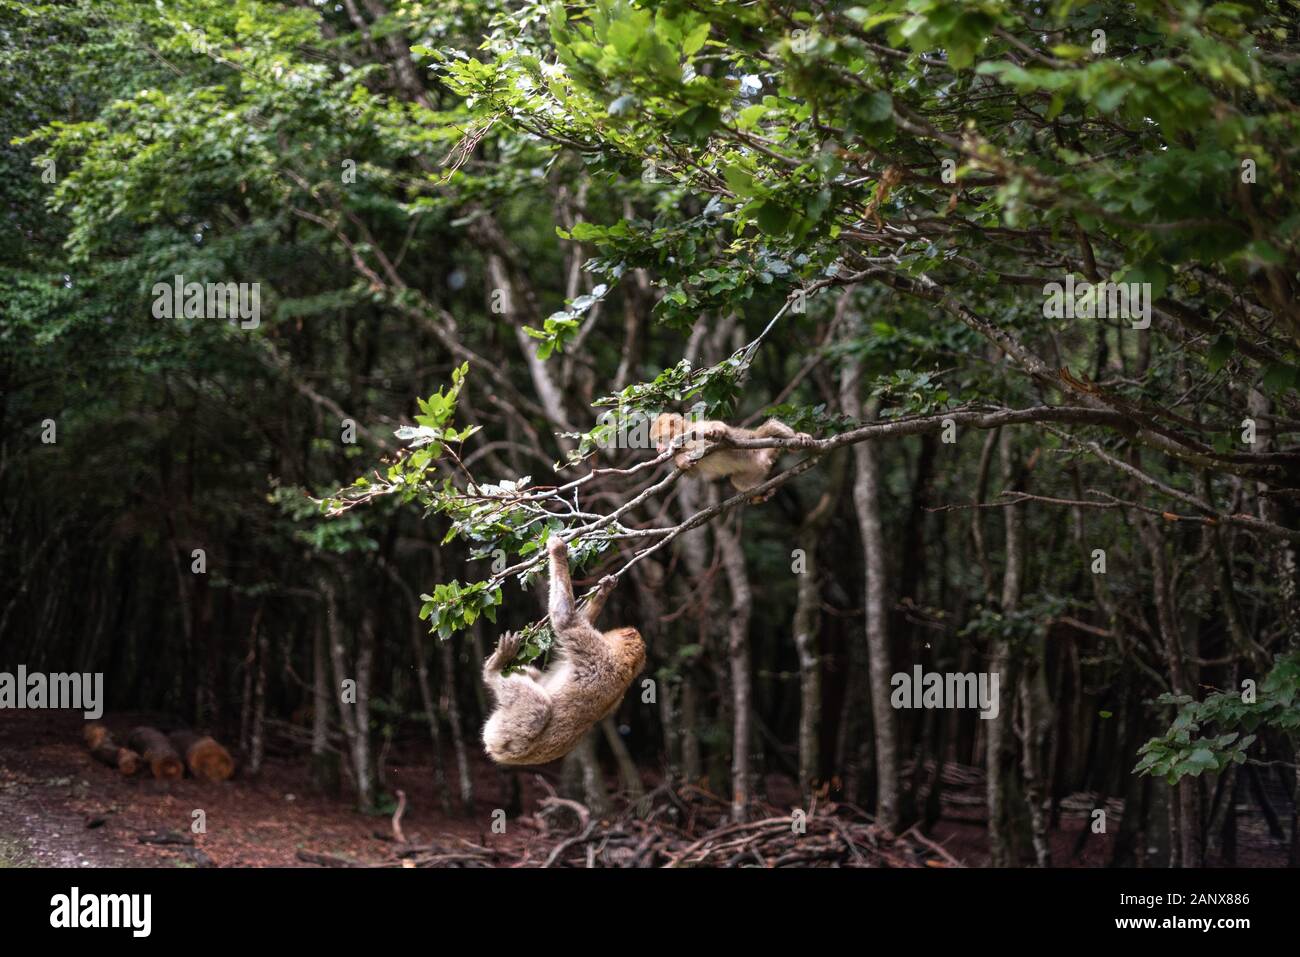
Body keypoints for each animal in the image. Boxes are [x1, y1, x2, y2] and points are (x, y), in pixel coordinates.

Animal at [480, 538, 645, 766]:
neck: (624, 665)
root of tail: (500, 753)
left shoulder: (597, 652)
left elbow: (564, 619)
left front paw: (558, 551)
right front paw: (603, 592)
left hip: (507, 734)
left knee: (539, 708)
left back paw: (493, 668)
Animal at [649, 412, 813, 498]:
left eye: (660, 439)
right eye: (656, 441)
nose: (657, 449)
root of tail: (764, 459)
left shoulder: (696, 429)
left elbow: (719, 428)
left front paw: (717, 431)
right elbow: (692, 471)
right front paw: (680, 460)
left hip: (757, 441)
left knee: (771, 427)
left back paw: (799, 438)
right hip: (755, 469)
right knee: (737, 480)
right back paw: (761, 493)